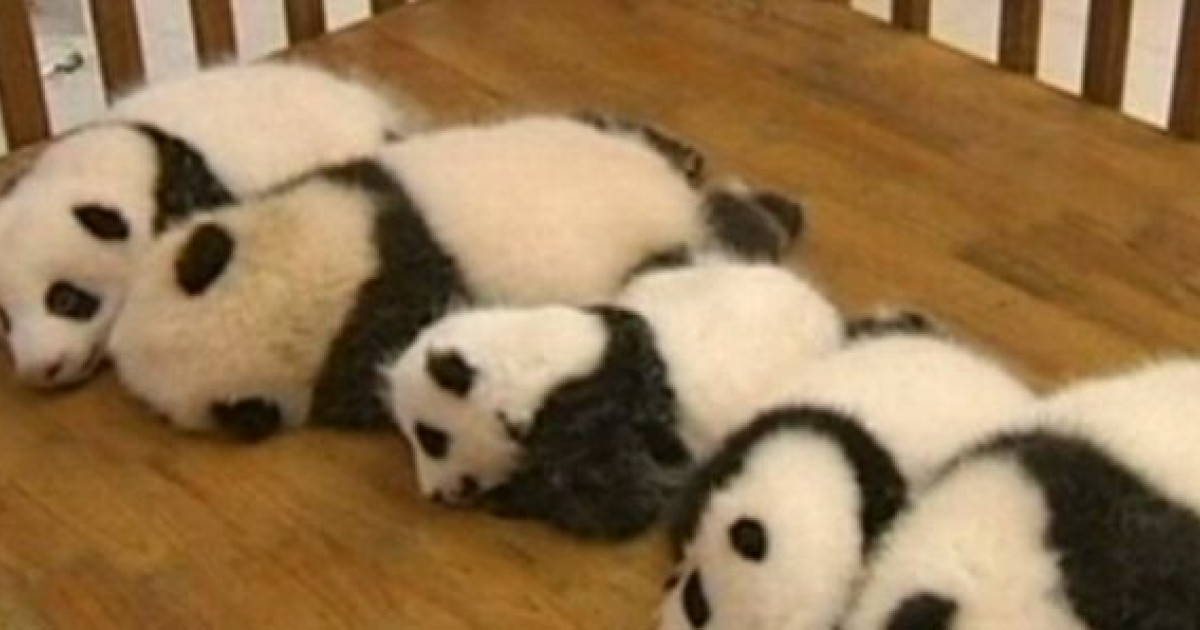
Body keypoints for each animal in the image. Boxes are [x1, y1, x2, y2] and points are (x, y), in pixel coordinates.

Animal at [380, 258, 843, 539]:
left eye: (431, 438)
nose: (434, 495)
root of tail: (826, 313)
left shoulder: (612, 430)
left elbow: (612, 508)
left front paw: (513, 498)